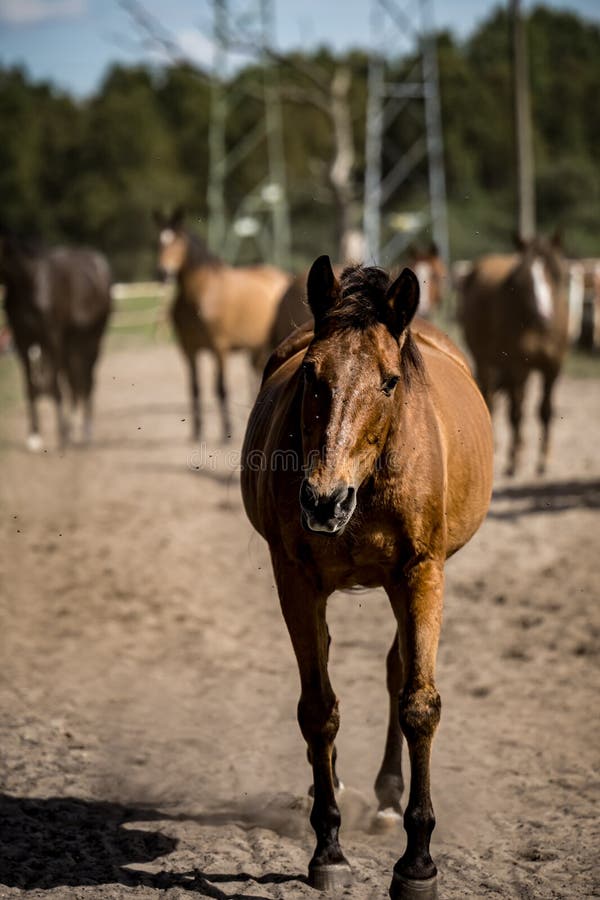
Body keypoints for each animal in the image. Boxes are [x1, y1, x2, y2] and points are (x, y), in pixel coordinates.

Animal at [0, 229, 112, 450]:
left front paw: (62, 435)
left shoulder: (52, 338)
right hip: (71, 346)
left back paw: (85, 431)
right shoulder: (23, 341)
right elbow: (31, 386)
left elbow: (55, 386)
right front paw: (34, 436)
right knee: (74, 382)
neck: (30, 283)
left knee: (87, 381)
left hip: (92, 341)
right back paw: (74, 426)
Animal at [153, 207, 291, 441]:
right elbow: (195, 388)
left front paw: (227, 430)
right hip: (254, 347)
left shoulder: (219, 348)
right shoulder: (189, 350)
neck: (201, 294)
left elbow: (221, 388)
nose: (164, 273)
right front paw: (197, 431)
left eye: (178, 242)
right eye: (159, 242)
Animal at [241, 257, 493, 898]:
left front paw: (418, 861)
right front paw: (327, 847)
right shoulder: (296, 579)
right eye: (311, 374)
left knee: (397, 670)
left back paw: (386, 799)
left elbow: (418, 703)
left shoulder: (423, 572)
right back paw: (328, 785)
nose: (324, 501)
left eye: (389, 381)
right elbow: (318, 707)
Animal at [460, 233, 569, 476]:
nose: (543, 316)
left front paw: (543, 461)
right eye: (522, 280)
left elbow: (545, 410)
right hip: (486, 362)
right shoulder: (519, 367)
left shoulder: (552, 368)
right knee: (492, 400)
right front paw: (515, 460)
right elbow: (517, 412)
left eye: (556, 274)